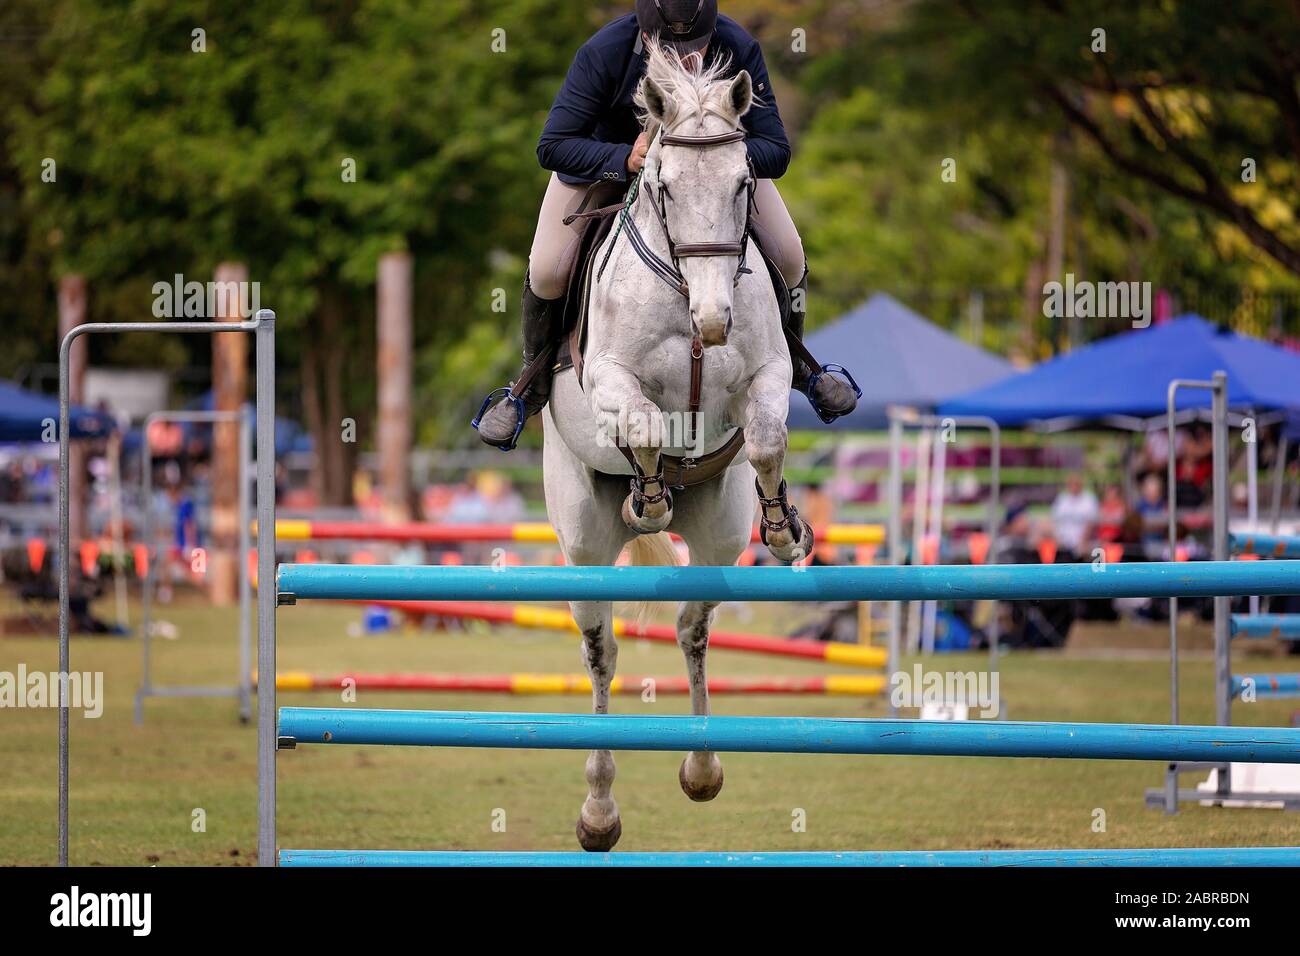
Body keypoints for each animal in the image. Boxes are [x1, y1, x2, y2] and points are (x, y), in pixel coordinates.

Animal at [542, 44, 813, 851]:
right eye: (663, 185)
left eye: (744, 184)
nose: (714, 319)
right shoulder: (610, 376)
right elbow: (646, 426)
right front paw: (650, 495)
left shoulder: (767, 373)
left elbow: (765, 436)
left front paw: (785, 531)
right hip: (582, 545)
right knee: (601, 652)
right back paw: (599, 811)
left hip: (720, 534)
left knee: (694, 630)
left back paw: (701, 767)